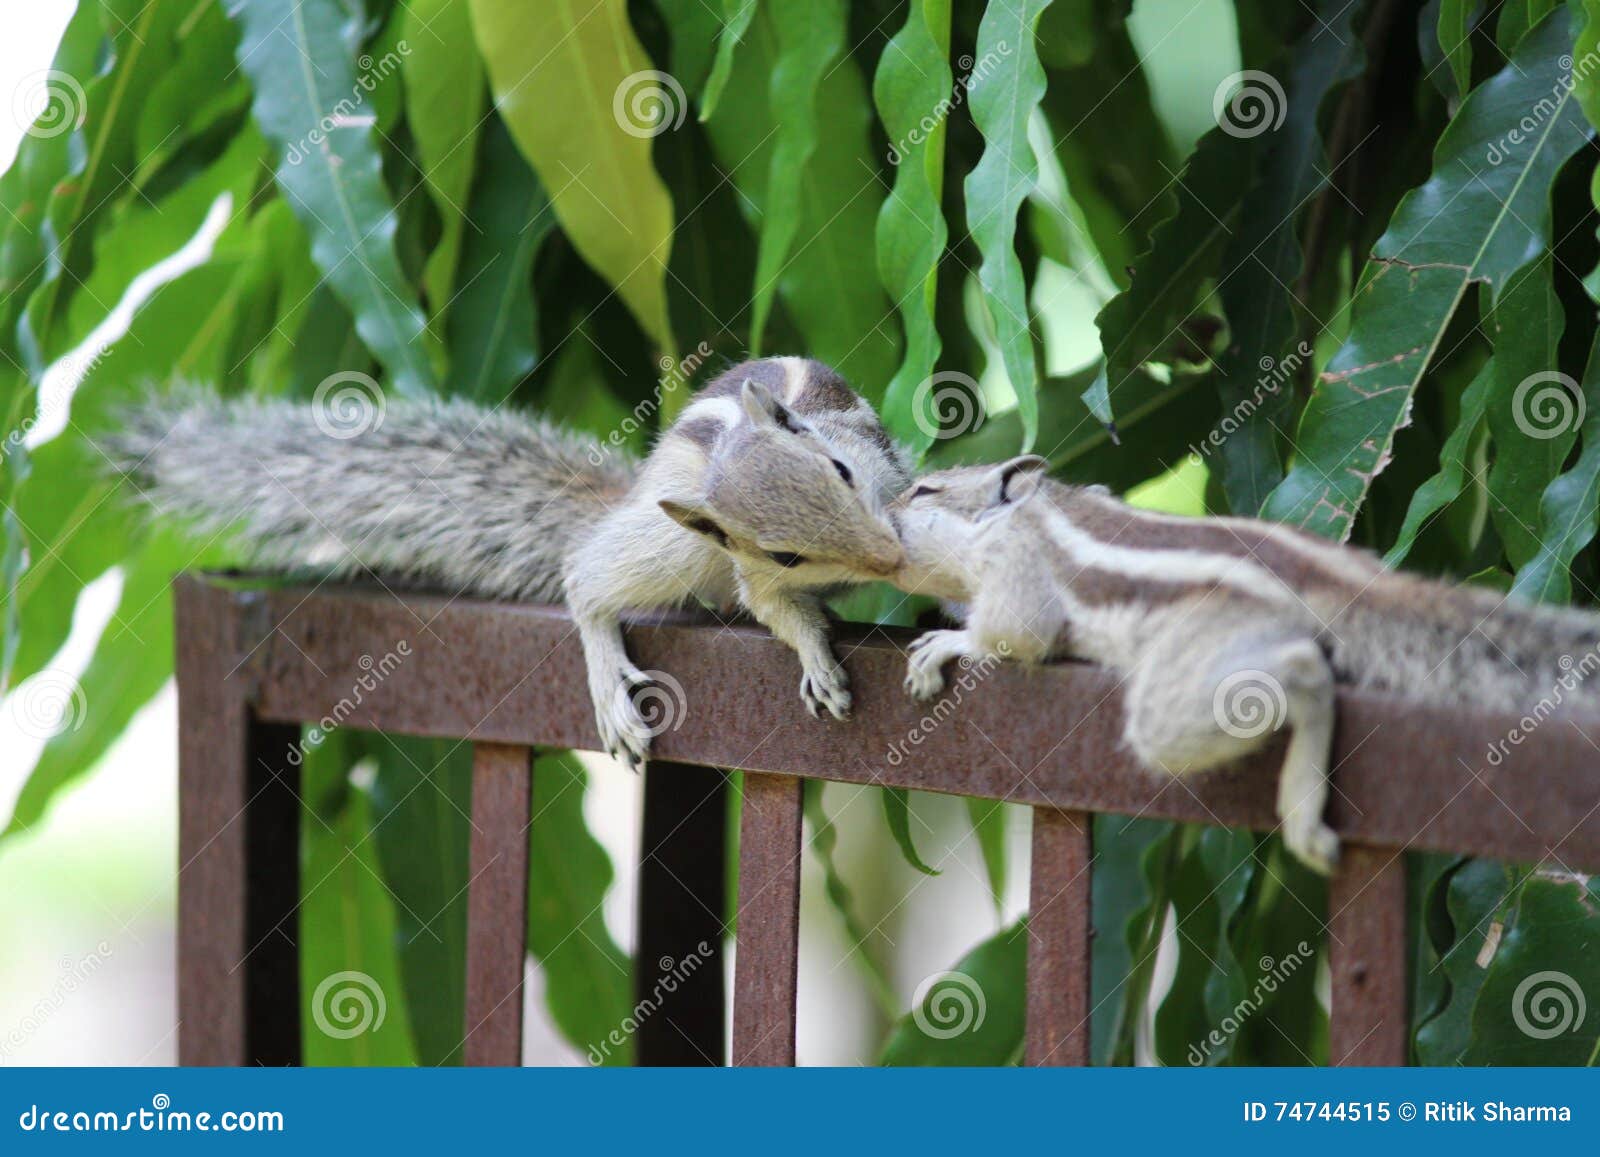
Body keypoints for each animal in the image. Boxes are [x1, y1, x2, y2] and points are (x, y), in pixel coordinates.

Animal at [111, 357, 911, 770]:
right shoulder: (751, 569)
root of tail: (642, 484)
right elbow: (776, 610)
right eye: (784, 550)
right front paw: (815, 657)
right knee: (587, 574)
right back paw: (606, 674)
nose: (889, 557)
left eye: (843, 469)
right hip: (674, 543)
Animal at [886, 455, 1600, 875]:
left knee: (1300, 671)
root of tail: (1342, 582)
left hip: (1194, 675)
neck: (1030, 510)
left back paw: (1302, 810)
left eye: (923, 490)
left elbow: (1017, 634)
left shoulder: (1017, 567)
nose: (883, 511)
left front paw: (947, 644)